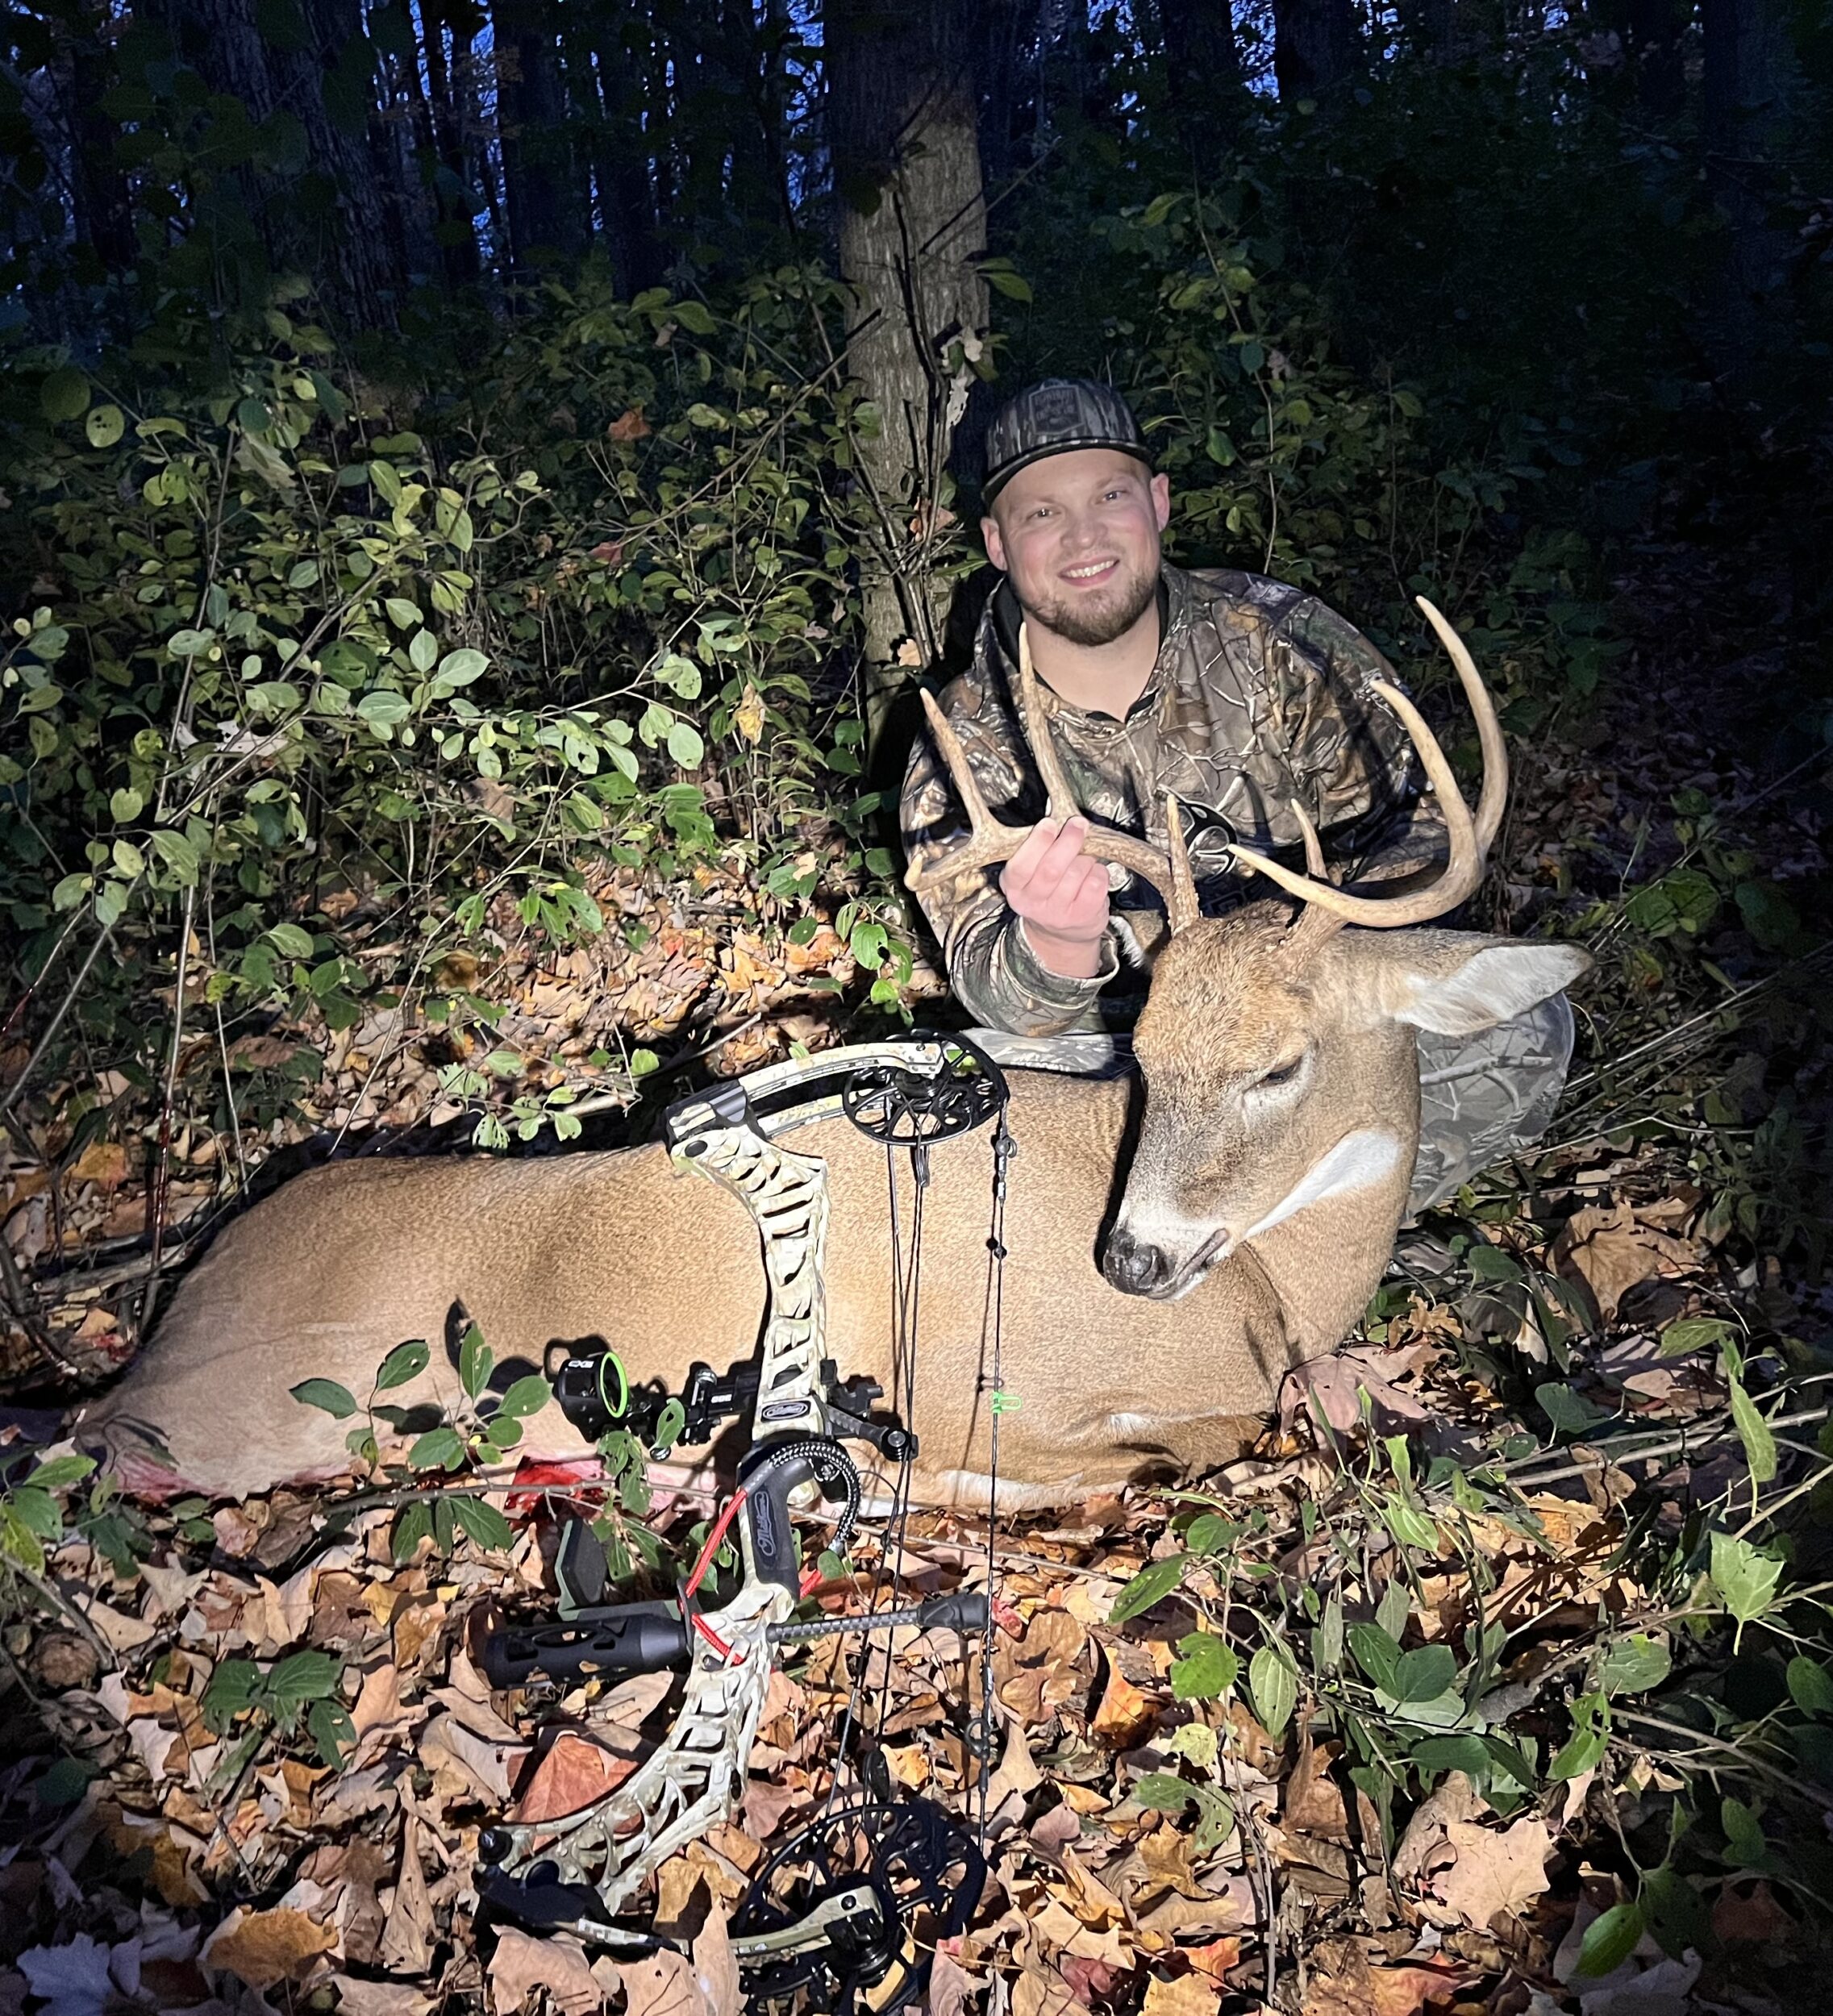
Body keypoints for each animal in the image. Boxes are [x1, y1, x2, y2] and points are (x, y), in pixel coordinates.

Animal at [79, 600, 1588, 1511]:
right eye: (1148, 1047)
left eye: (1276, 1065)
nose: (1133, 1259)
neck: (1276, 1289)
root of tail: (177, 1305)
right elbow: (1151, 1448)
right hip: (260, 1409)